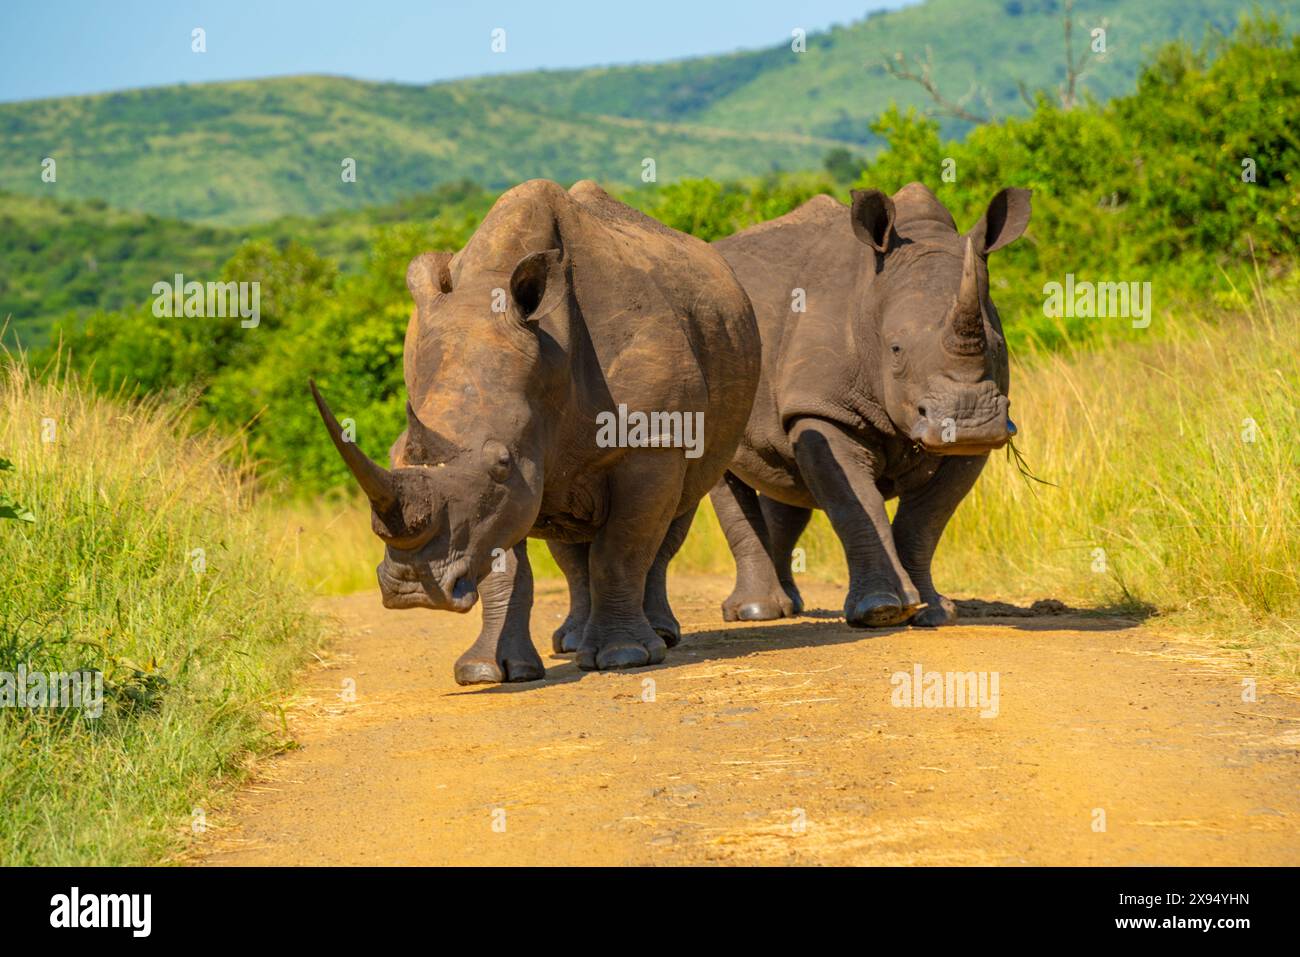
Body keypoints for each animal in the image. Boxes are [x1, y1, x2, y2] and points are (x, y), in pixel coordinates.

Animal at [311, 179, 760, 683]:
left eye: (501, 464)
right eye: (394, 454)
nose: (411, 589)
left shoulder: (652, 440)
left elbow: (621, 550)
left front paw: (624, 658)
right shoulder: (505, 485)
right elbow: (504, 565)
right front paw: (489, 671)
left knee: (672, 516)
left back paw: (657, 638)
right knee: (569, 533)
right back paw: (572, 642)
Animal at [708, 182, 1030, 628]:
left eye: (999, 347)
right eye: (895, 349)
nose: (969, 424)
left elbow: (926, 519)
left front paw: (934, 612)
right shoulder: (825, 408)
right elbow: (855, 503)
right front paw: (880, 610)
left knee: (786, 482)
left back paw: (790, 605)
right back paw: (755, 613)